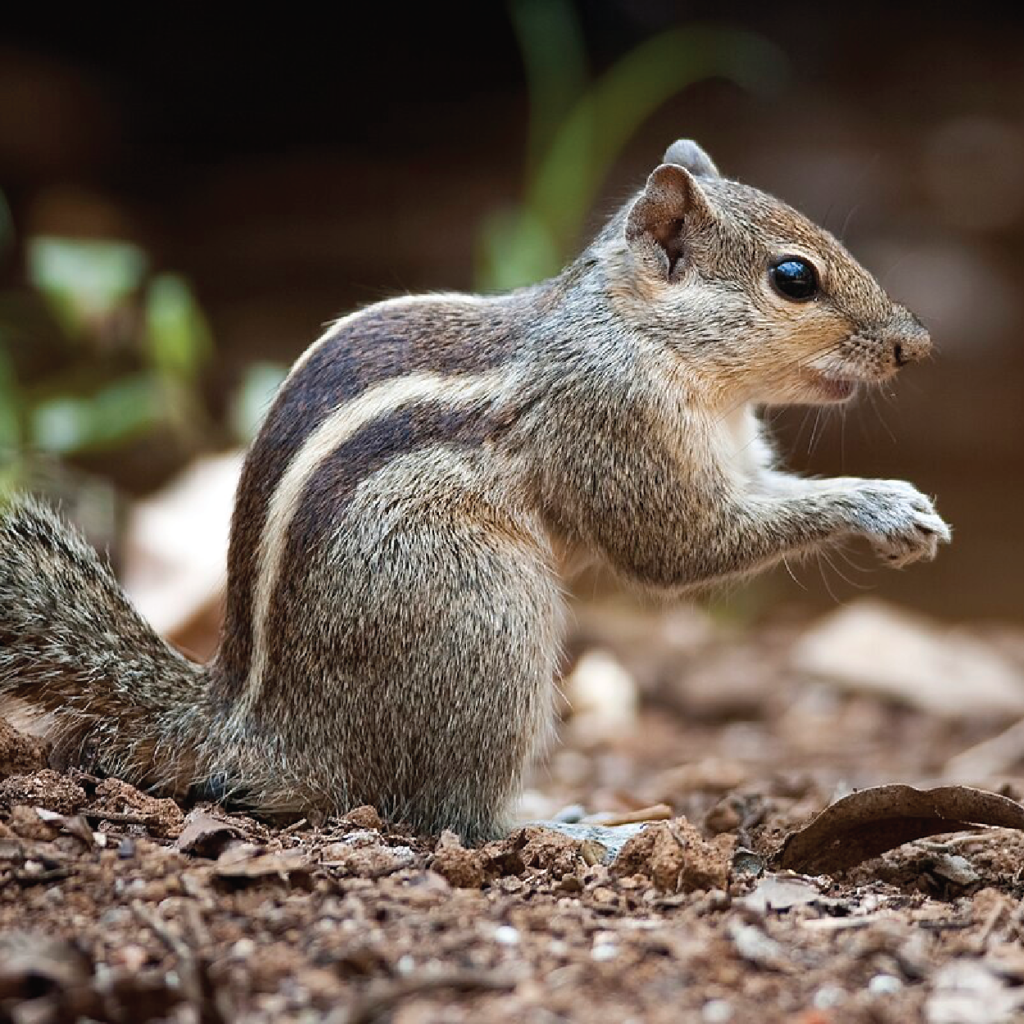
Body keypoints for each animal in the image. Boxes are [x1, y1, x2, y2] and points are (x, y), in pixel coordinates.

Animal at [0, 139, 950, 841]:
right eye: (794, 278)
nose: (917, 345)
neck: (639, 330)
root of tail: (255, 732)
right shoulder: (612, 424)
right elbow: (679, 548)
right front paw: (880, 504)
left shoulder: (737, 456)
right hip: (487, 620)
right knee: (449, 816)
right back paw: (572, 828)